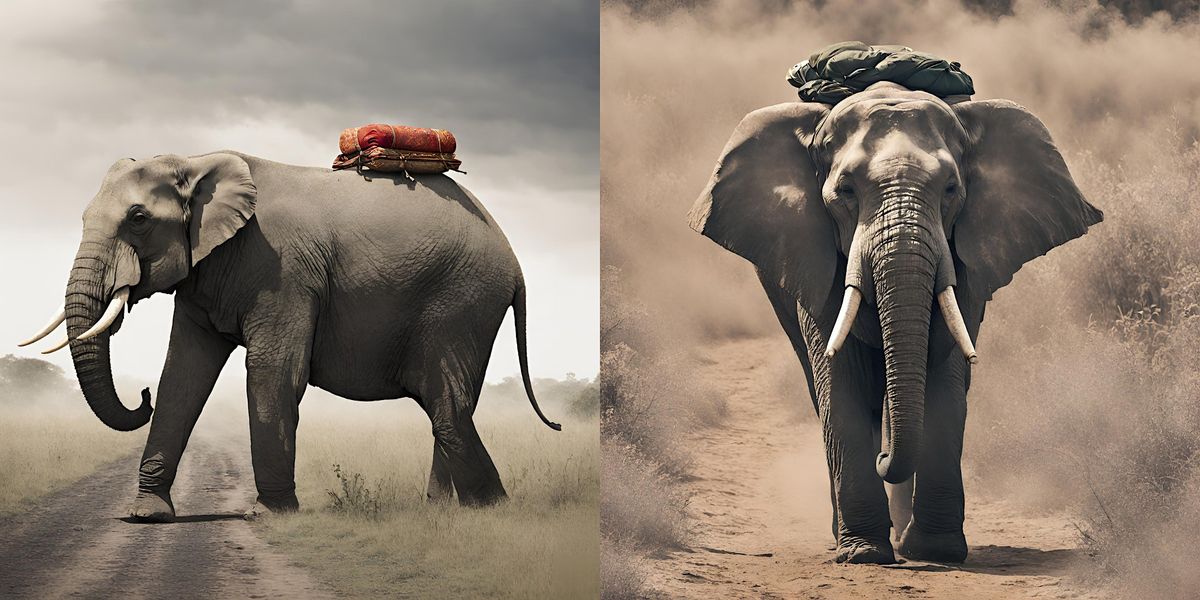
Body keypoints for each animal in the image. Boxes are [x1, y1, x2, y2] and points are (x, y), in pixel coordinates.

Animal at [20, 151, 561, 520]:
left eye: (138, 218)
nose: (141, 395)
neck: (194, 162)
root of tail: (513, 262)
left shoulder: (283, 271)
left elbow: (272, 371)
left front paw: (270, 515)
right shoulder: (206, 273)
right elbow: (182, 376)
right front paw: (146, 516)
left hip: (461, 301)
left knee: (447, 405)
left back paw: (490, 510)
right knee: (449, 406)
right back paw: (441, 511)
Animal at [689, 82, 1101, 564]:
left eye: (950, 189)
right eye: (846, 192)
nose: (884, 458)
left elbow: (942, 374)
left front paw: (936, 551)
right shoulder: (814, 254)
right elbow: (840, 376)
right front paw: (863, 553)